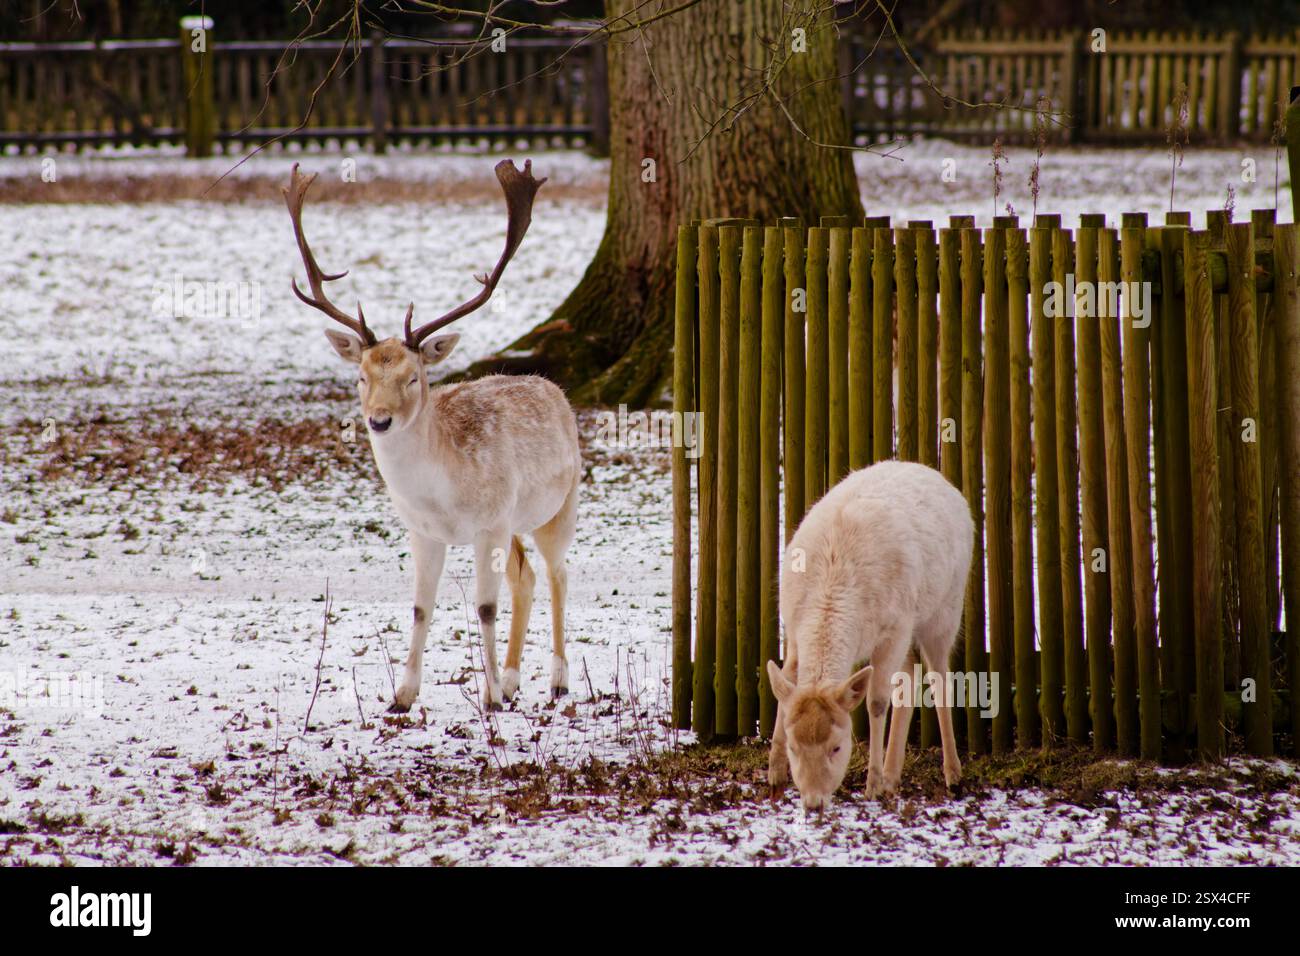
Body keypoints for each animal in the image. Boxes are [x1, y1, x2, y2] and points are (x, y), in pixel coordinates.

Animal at [283, 158, 581, 713]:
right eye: (361, 375)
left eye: (414, 377)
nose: (379, 420)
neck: (443, 495)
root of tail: (553, 388)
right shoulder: (421, 531)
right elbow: (421, 607)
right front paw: (402, 695)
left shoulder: (489, 523)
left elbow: (484, 607)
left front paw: (488, 697)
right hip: (515, 523)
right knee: (525, 577)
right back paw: (514, 680)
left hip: (559, 504)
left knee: (557, 573)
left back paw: (556, 679)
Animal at [766, 460, 971, 812]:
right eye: (794, 746)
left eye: (837, 747)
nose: (814, 802)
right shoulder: (791, 626)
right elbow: (787, 677)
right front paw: (774, 775)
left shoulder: (895, 628)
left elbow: (876, 702)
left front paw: (872, 785)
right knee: (910, 673)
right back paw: (894, 776)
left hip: (945, 608)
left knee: (938, 677)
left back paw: (952, 775)